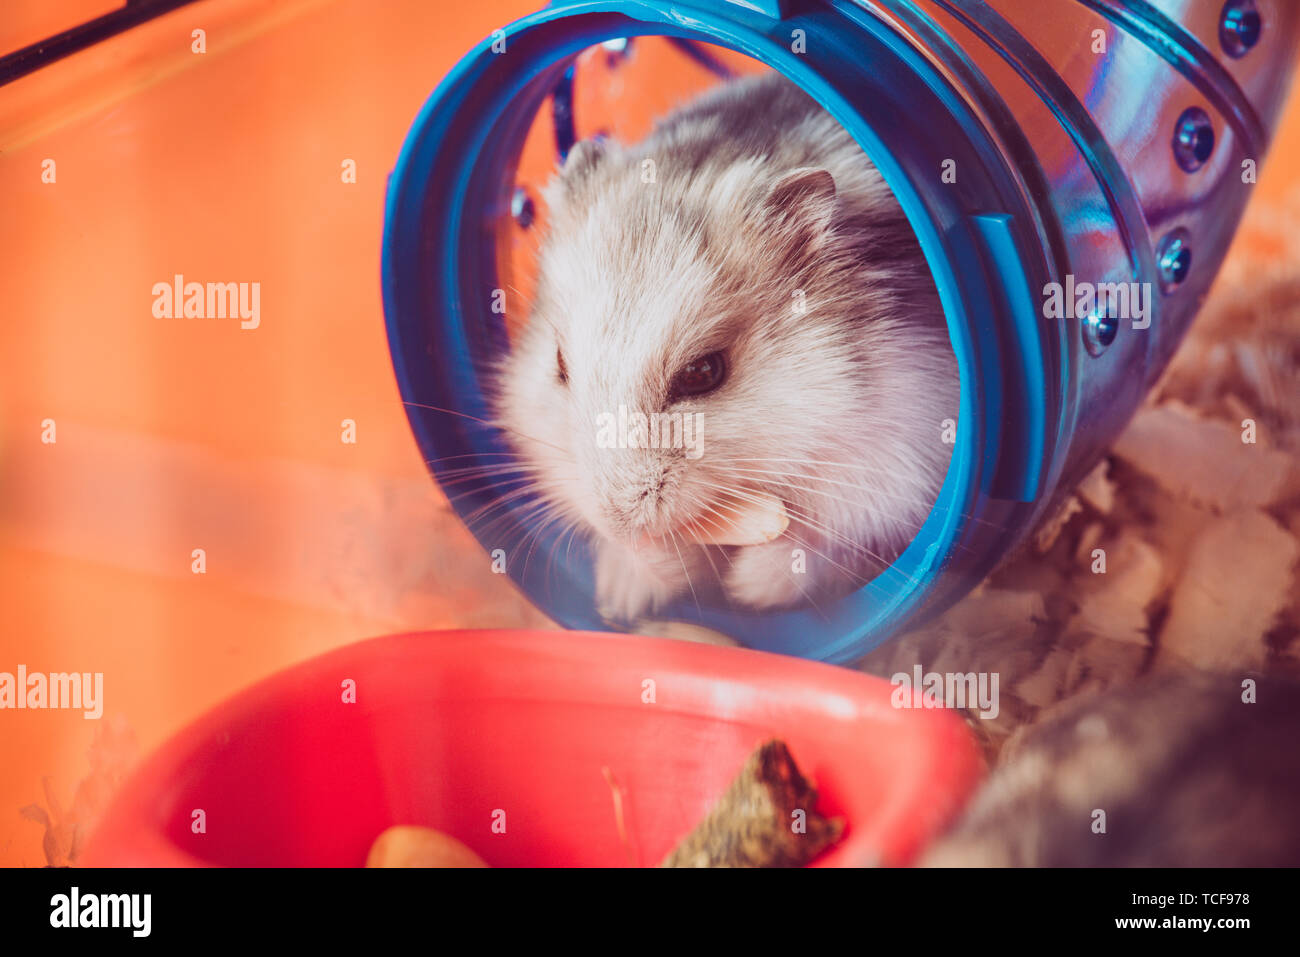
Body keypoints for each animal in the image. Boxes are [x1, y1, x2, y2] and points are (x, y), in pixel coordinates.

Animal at [494, 71, 957, 622]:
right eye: (561, 366)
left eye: (704, 372)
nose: (620, 520)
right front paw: (626, 591)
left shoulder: (898, 462)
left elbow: (823, 538)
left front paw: (745, 586)